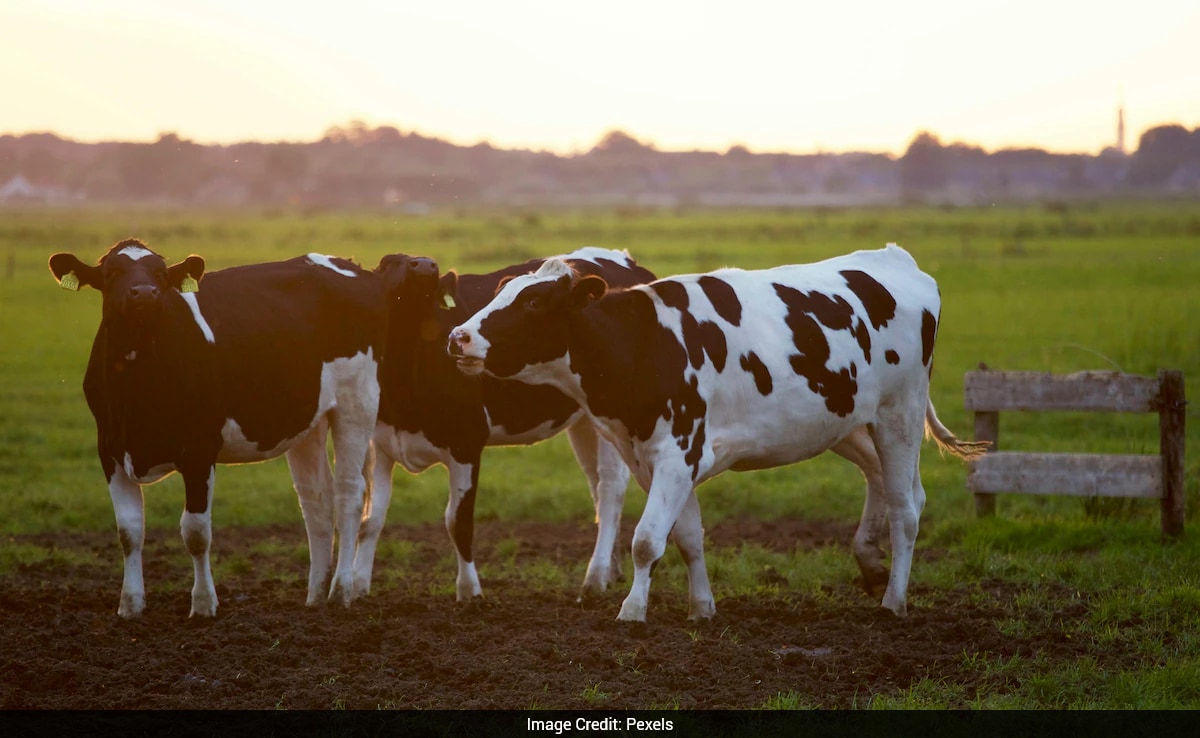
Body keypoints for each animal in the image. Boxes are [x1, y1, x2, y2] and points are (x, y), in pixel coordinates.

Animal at [49, 239, 386, 618]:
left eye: (160, 273)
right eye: (112, 273)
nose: (145, 293)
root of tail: (347, 264)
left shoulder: (199, 450)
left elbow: (196, 532)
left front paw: (203, 605)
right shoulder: (110, 450)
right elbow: (129, 531)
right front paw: (130, 605)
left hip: (357, 403)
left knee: (349, 494)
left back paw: (341, 590)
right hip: (309, 419)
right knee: (316, 500)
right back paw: (314, 594)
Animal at [353, 247, 656, 602]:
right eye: (387, 264)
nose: (426, 265)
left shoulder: (467, 442)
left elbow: (458, 521)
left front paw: (469, 592)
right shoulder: (381, 444)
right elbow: (371, 519)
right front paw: (356, 587)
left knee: (610, 489)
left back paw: (595, 578)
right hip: (585, 421)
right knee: (595, 485)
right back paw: (611, 569)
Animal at [448, 243, 987, 622]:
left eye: (534, 302)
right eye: (500, 292)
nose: (458, 336)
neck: (644, 343)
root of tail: (895, 259)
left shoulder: (677, 452)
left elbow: (646, 540)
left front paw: (632, 611)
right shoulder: (657, 458)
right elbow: (686, 537)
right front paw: (701, 607)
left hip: (900, 414)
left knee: (906, 509)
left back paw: (894, 600)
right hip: (848, 421)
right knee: (889, 484)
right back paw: (871, 564)